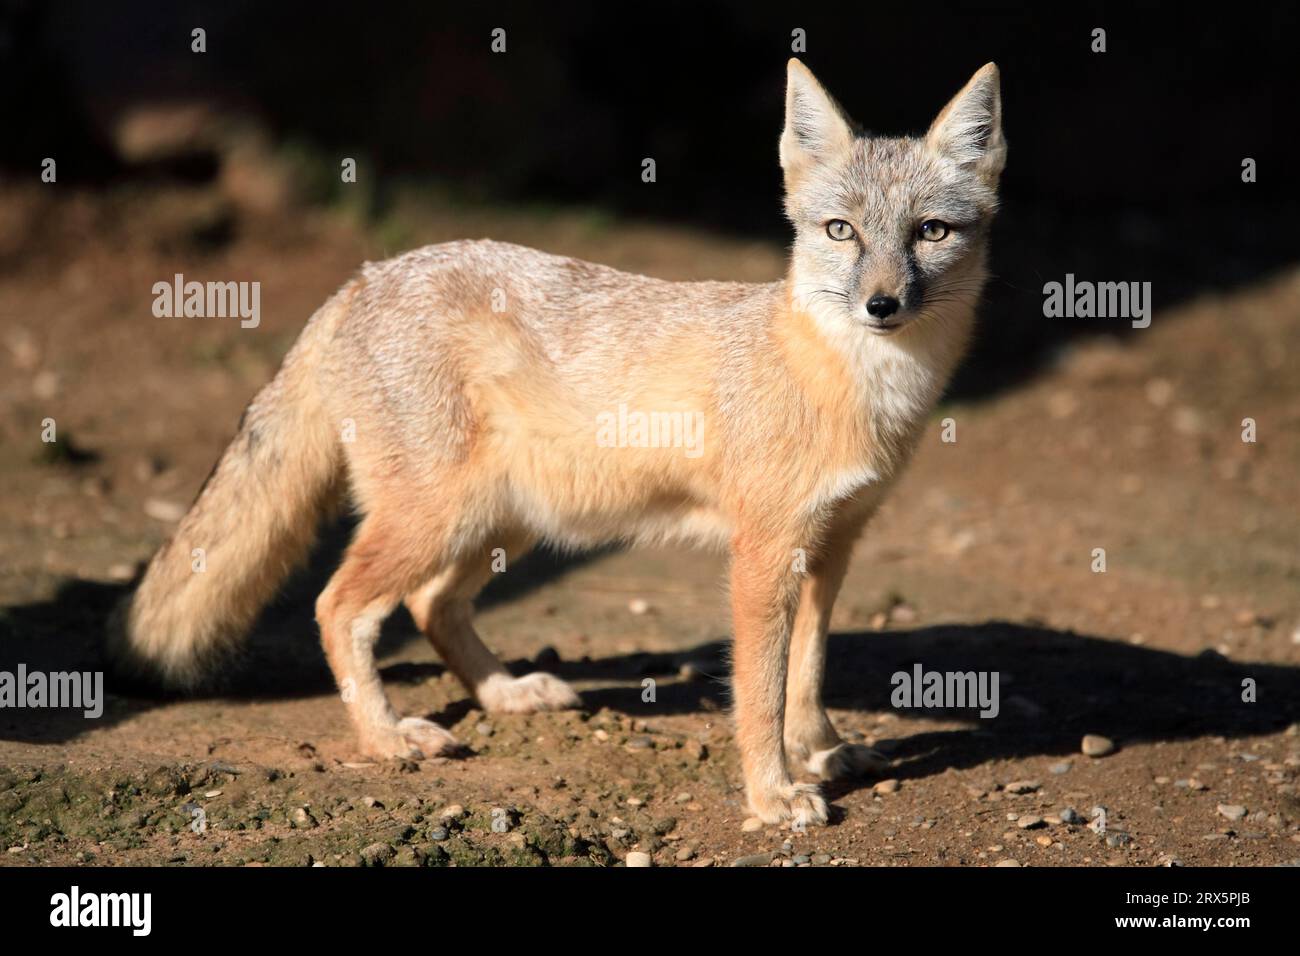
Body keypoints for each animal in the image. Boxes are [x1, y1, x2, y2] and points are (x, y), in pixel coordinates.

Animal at [111, 59, 1005, 827]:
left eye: (930, 232)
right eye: (841, 231)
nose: (882, 305)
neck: (858, 390)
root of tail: (365, 275)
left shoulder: (833, 544)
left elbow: (808, 674)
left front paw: (817, 751)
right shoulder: (763, 552)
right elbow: (758, 691)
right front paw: (772, 793)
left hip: (502, 520)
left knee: (431, 603)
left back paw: (503, 694)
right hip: (439, 517)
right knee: (340, 606)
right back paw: (387, 737)